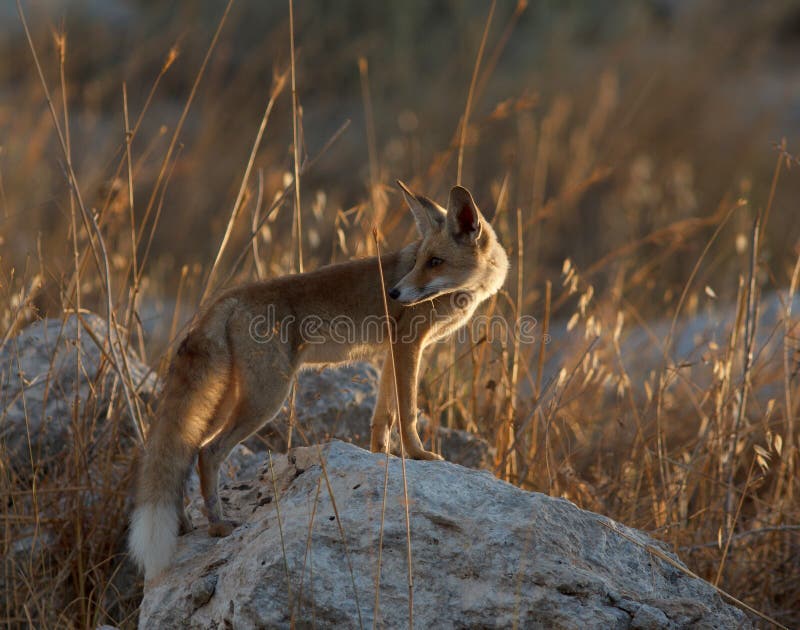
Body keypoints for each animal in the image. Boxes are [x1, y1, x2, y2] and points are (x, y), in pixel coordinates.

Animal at [128, 181, 509, 580]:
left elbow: (383, 416)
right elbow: (407, 413)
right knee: (208, 452)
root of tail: (225, 297)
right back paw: (217, 525)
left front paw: (380, 456)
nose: (393, 293)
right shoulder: (409, 345)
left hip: (228, 401)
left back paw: (186, 524)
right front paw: (418, 454)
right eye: (420, 260)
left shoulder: (392, 353)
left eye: (435, 262)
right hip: (268, 398)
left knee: (184, 451)